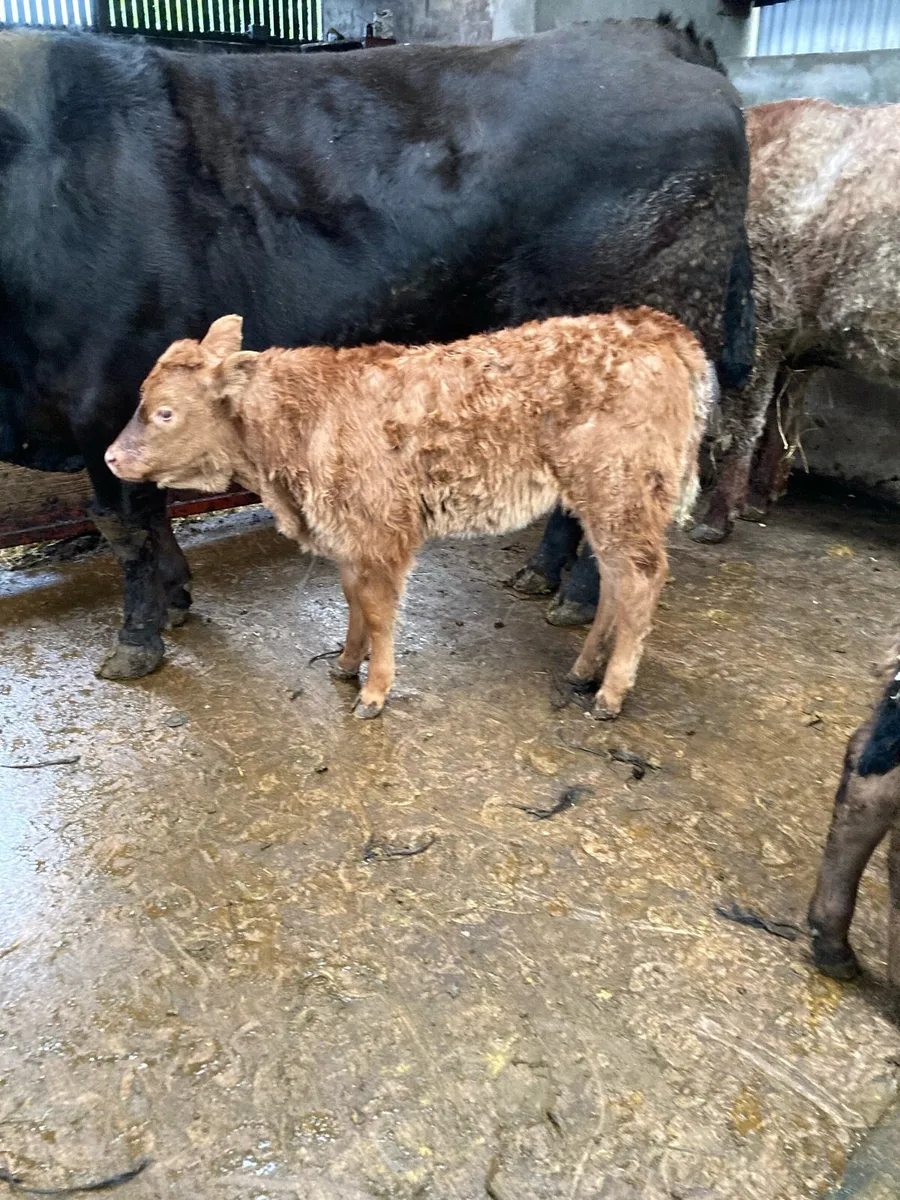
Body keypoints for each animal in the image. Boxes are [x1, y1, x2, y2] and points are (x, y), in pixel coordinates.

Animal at [104, 309, 716, 719]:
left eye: (164, 412)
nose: (110, 457)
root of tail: (657, 325)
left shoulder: (382, 530)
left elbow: (378, 612)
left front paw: (375, 691)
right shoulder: (349, 534)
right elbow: (352, 600)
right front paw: (346, 664)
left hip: (621, 492)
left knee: (639, 580)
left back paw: (611, 693)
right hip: (608, 500)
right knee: (614, 580)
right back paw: (585, 671)